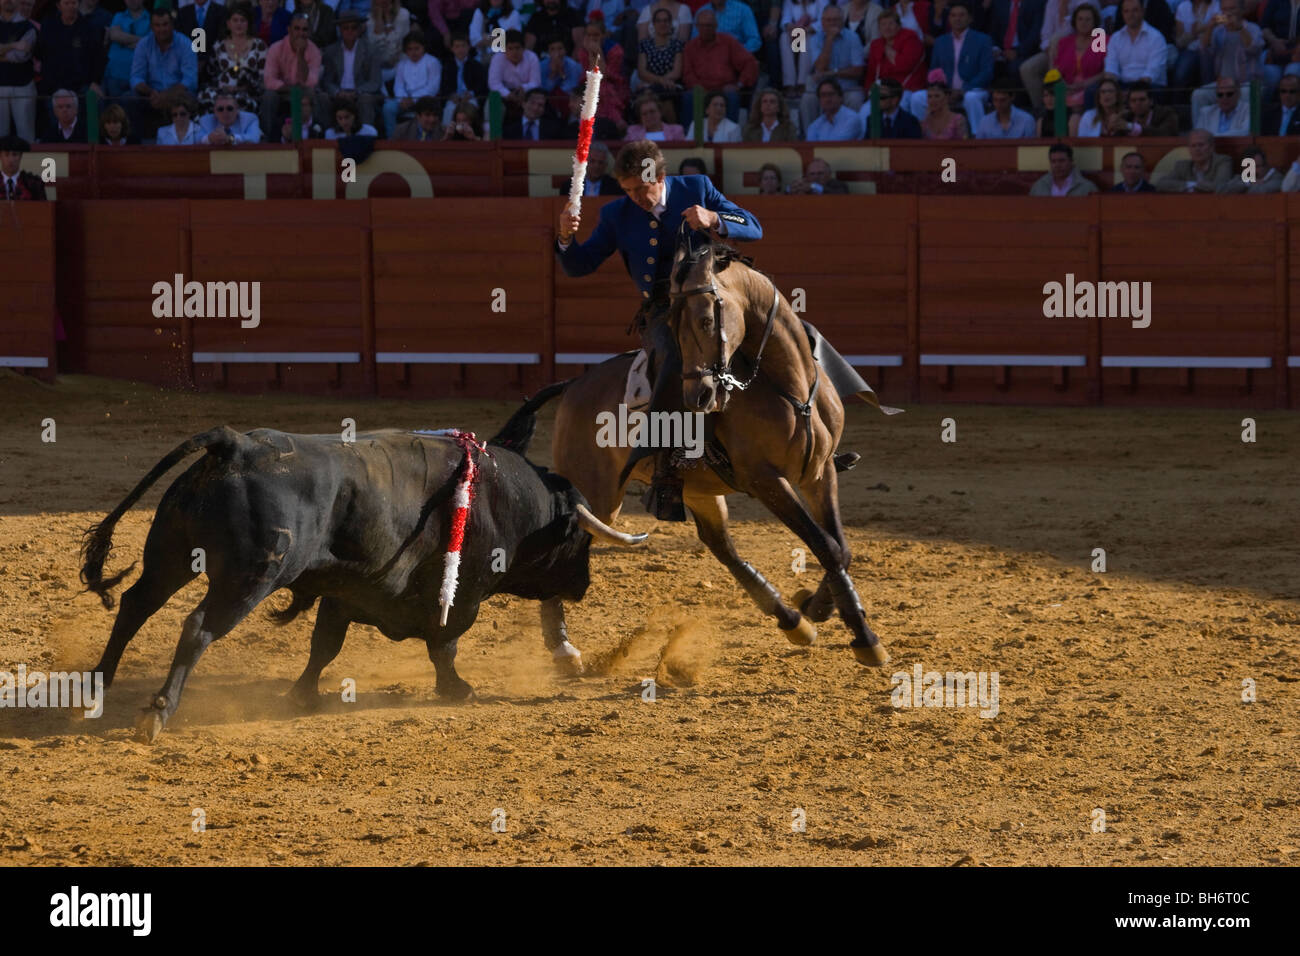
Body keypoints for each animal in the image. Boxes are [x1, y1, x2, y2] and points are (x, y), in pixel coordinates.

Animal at [79, 392, 645, 743]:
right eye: (578, 539)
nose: (583, 585)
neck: (503, 498)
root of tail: (236, 444)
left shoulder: (345, 592)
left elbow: (324, 645)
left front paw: (302, 695)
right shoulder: (461, 594)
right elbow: (445, 646)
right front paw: (457, 690)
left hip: (171, 556)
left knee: (134, 605)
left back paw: (95, 688)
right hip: (248, 579)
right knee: (196, 627)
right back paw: (156, 712)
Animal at [524, 233, 892, 670]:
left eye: (704, 320)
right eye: (673, 326)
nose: (697, 396)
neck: (790, 386)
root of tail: (572, 386)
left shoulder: (821, 472)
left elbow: (840, 547)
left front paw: (821, 608)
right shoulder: (766, 480)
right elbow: (826, 545)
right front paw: (861, 636)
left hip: (699, 490)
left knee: (722, 547)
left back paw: (793, 621)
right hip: (598, 497)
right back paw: (563, 651)